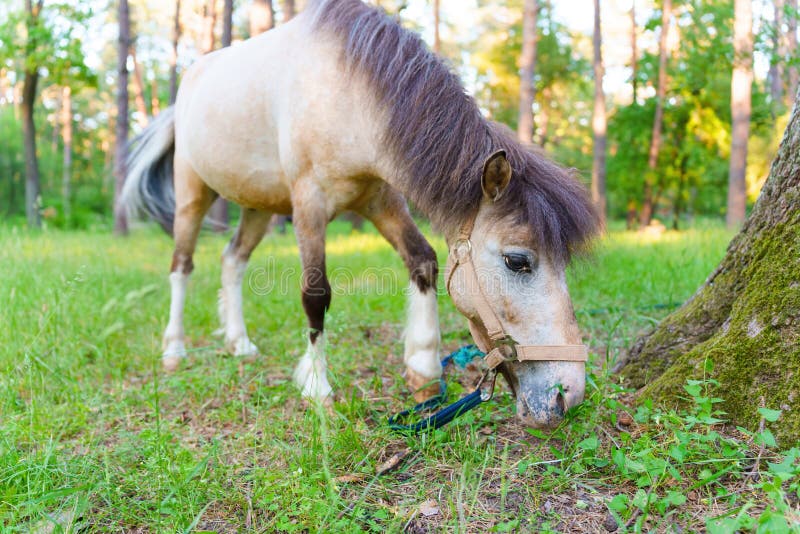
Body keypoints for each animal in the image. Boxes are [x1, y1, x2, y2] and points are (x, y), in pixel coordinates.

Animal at [121, 0, 600, 429]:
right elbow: (316, 294)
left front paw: (424, 370)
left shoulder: (380, 200)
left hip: (258, 206)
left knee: (232, 260)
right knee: (182, 266)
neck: (347, 92)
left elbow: (423, 261)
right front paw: (318, 388)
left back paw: (239, 343)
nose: (569, 396)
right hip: (193, 195)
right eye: (517, 261)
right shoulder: (309, 204)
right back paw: (174, 350)